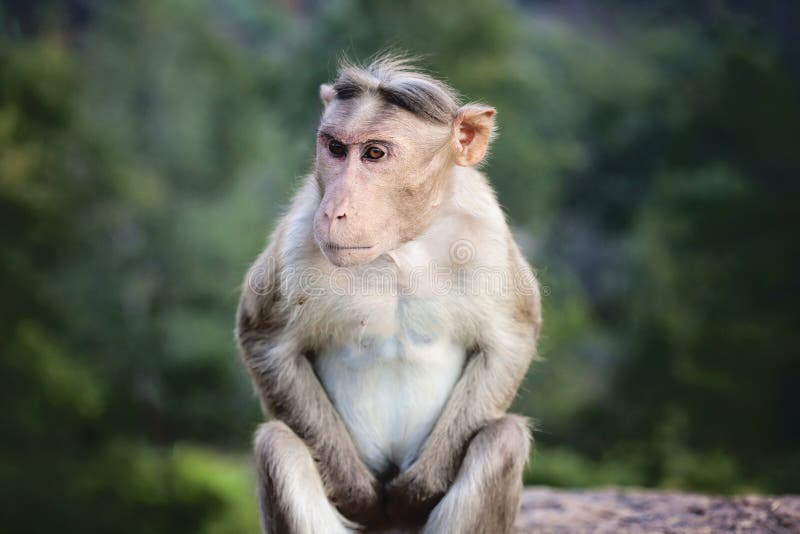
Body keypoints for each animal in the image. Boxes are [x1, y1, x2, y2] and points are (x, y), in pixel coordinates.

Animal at [236, 55, 541, 534]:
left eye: (375, 154)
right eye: (335, 148)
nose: (334, 210)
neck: (398, 250)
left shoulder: (487, 236)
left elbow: (511, 339)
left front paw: (418, 491)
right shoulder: (298, 239)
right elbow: (265, 339)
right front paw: (356, 492)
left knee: (501, 437)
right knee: (277, 444)